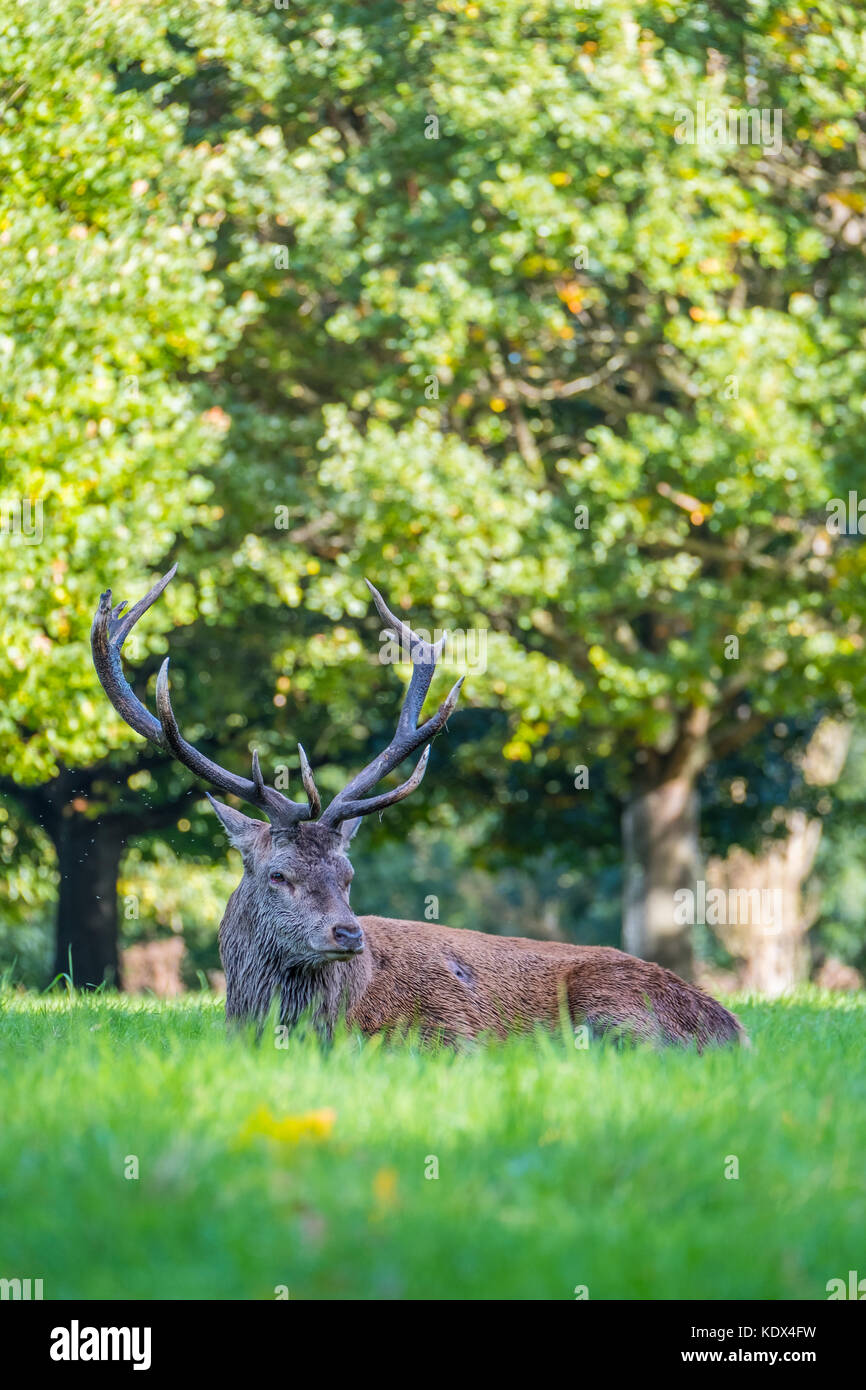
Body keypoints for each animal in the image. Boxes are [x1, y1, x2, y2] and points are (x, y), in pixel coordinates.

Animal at [91, 567, 746, 1049]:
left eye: (348, 875)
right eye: (278, 875)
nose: (348, 933)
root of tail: (731, 1030)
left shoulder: (450, 1034)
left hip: (615, 1011)